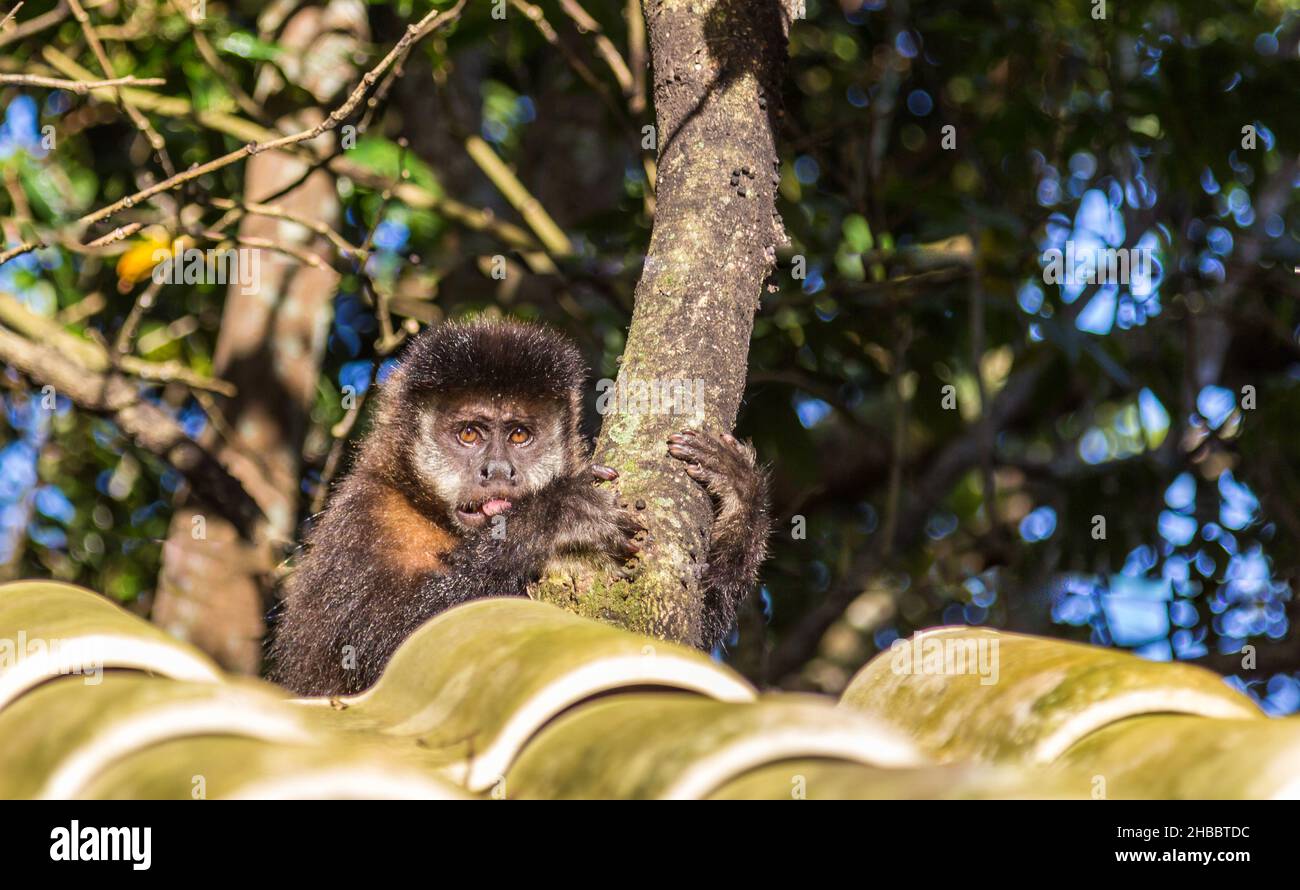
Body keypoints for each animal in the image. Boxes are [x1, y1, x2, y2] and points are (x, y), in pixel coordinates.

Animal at [267, 318, 769, 696]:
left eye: (519, 435)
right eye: (470, 433)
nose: (497, 469)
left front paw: (739, 491)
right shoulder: (363, 519)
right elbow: (385, 655)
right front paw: (552, 515)